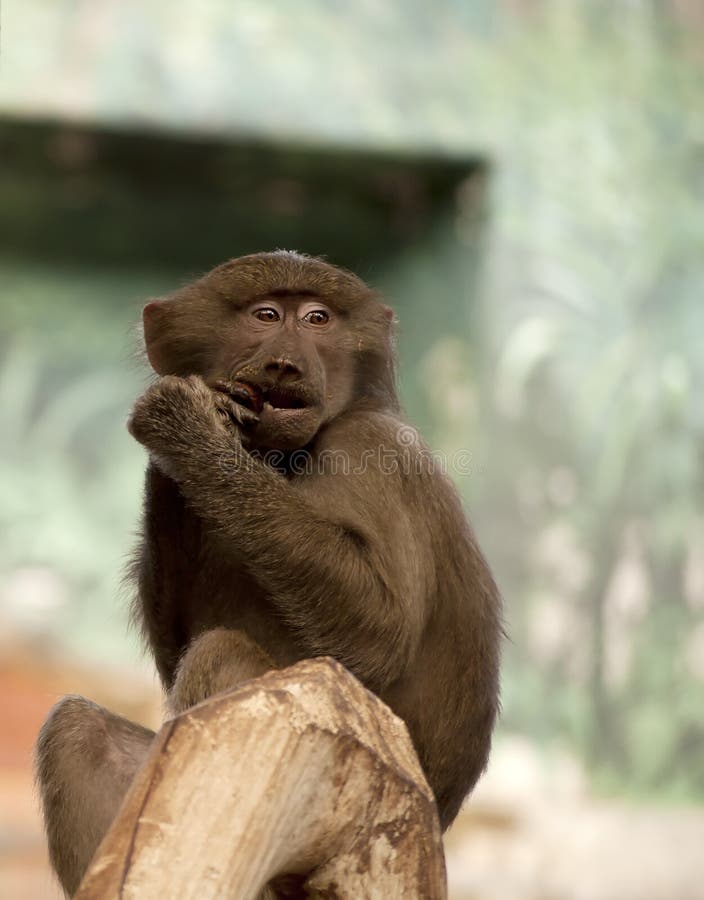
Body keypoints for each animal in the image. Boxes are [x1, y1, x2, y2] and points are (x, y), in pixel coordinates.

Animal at [35, 251, 502, 897]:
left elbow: (376, 635)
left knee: (224, 655)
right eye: (265, 315)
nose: (285, 362)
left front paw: (186, 427)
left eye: (315, 318)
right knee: (80, 728)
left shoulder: (371, 448)